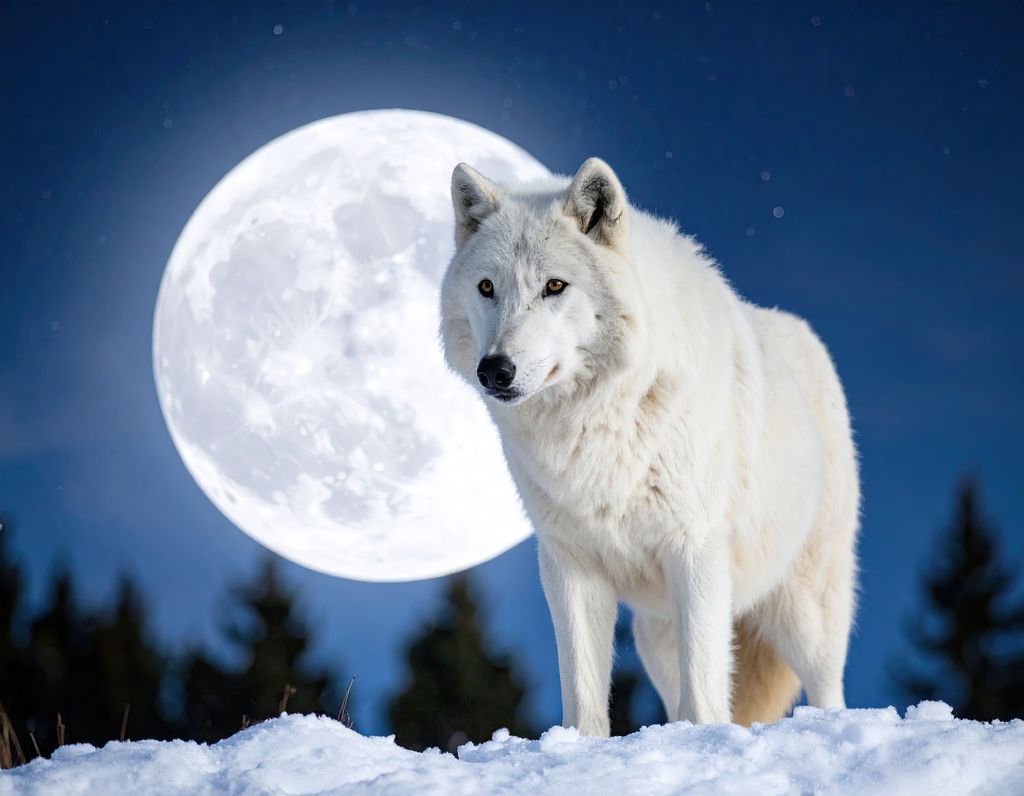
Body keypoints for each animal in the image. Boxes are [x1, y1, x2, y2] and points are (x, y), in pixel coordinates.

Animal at [439, 157, 859, 736]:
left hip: (803, 609)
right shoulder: (569, 562)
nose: (495, 370)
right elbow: (584, 696)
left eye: (554, 286)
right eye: (486, 287)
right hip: (654, 632)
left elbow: (705, 694)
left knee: (826, 688)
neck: (594, 420)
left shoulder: (695, 549)